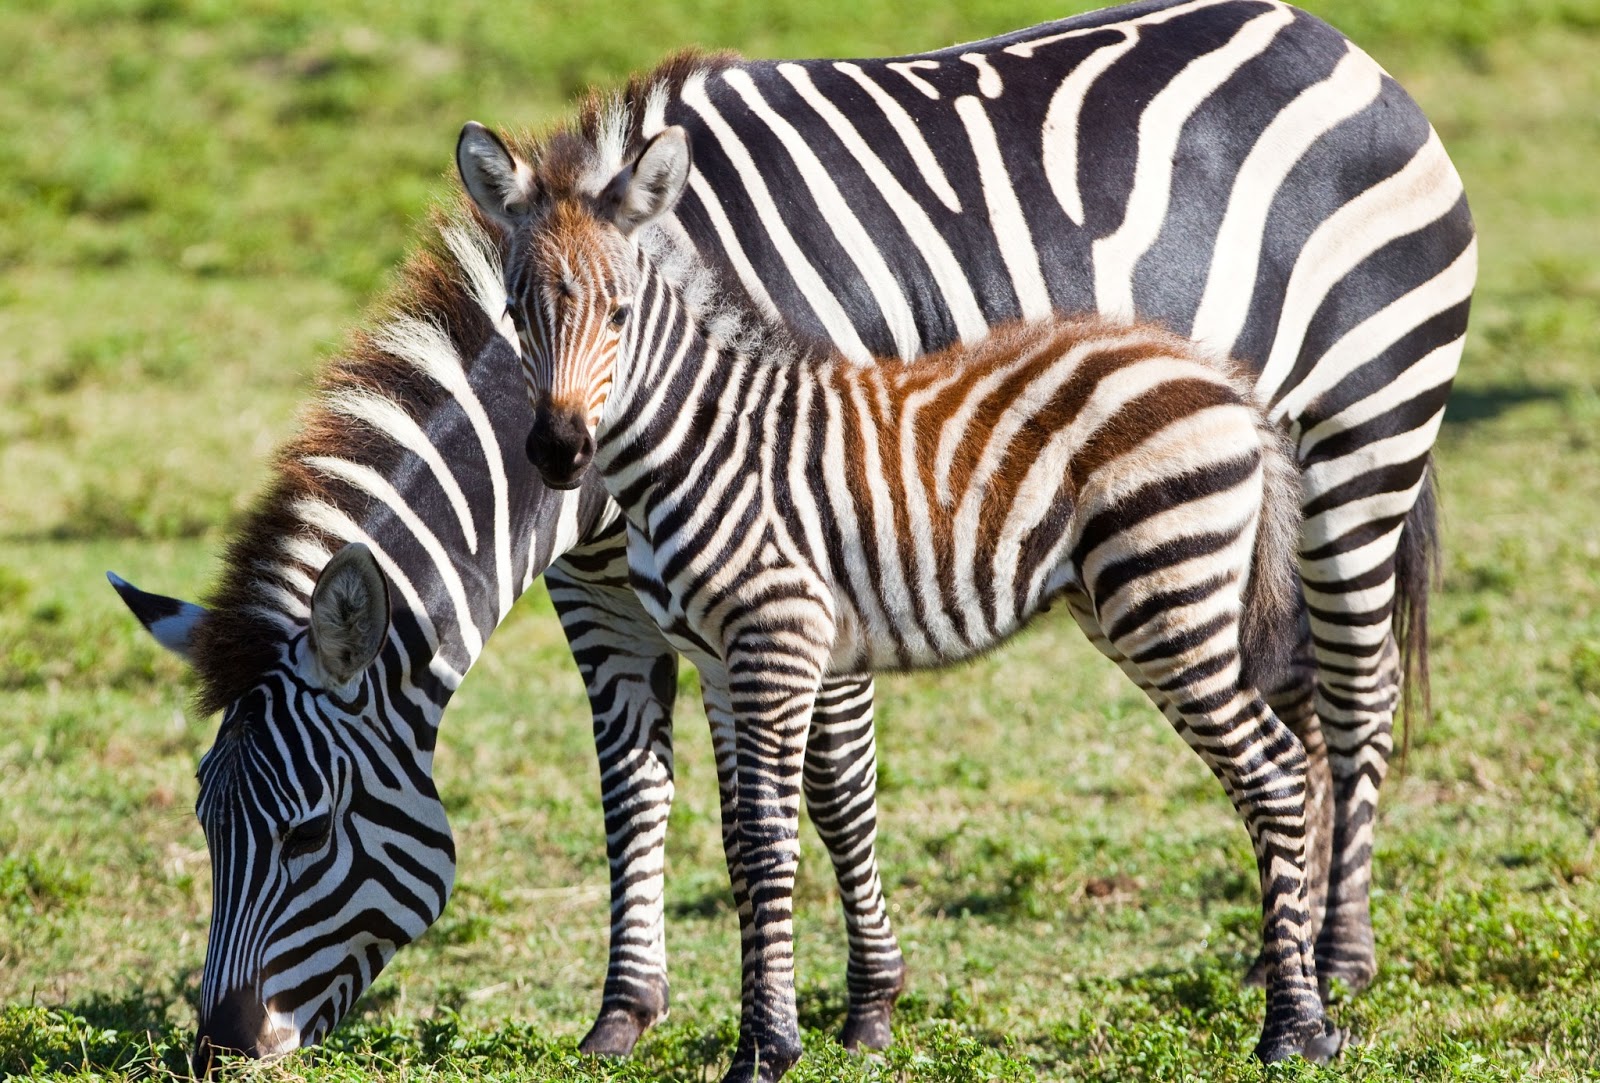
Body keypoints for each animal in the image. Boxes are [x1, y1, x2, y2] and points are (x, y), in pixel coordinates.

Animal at [109, 0, 1473, 1068]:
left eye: (308, 831)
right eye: (206, 825)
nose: (218, 1045)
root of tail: (1322, 35)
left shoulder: (841, 521)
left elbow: (833, 789)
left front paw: (865, 1006)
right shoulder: (602, 589)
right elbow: (633, 791)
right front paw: (625, 1014)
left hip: (1361, 435)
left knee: (1353, 701)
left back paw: (1335, 964)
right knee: (1288, 702)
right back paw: (1275, 950)